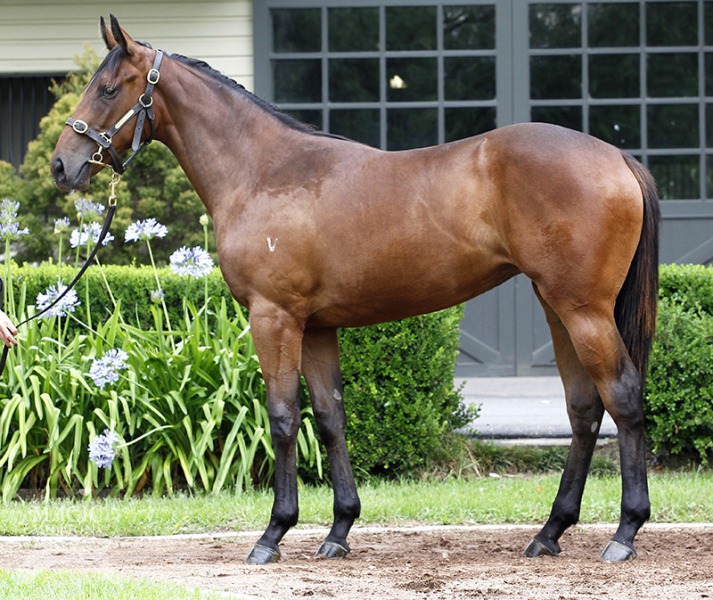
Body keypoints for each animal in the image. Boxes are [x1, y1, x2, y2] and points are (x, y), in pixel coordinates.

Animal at [51, 16, 660, 564]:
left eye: (108, 89)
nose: (61, 165)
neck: (264, 171)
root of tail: (616, 157)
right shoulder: (317, 326)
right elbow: (329, 418)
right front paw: (338, 530)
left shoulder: (274, 317)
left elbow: (282, 416)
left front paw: (273, 533)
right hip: (558, 308)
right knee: (584, 408)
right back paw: (549, 533)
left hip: (582, 311)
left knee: (623, 396)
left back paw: (624, 533)